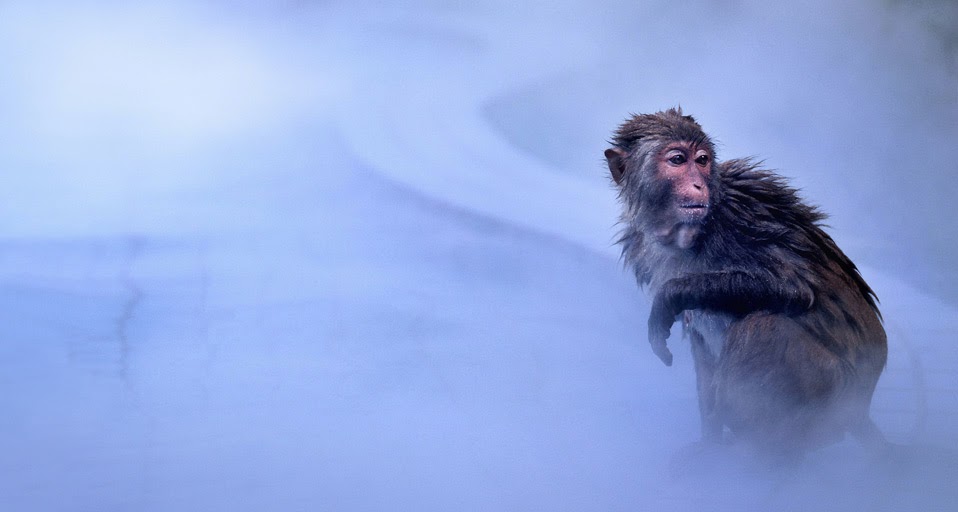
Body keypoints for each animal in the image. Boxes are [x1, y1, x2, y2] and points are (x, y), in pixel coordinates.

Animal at [605, 108, 887, 458]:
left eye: (702, 160)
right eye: (677, 160)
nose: (698, 184)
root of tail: (860, 408)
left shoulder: (746, 212)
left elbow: (794, 287)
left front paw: (670, 296)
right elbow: (698, 340)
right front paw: (709, 445)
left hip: (833, 393)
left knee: (763, 329)